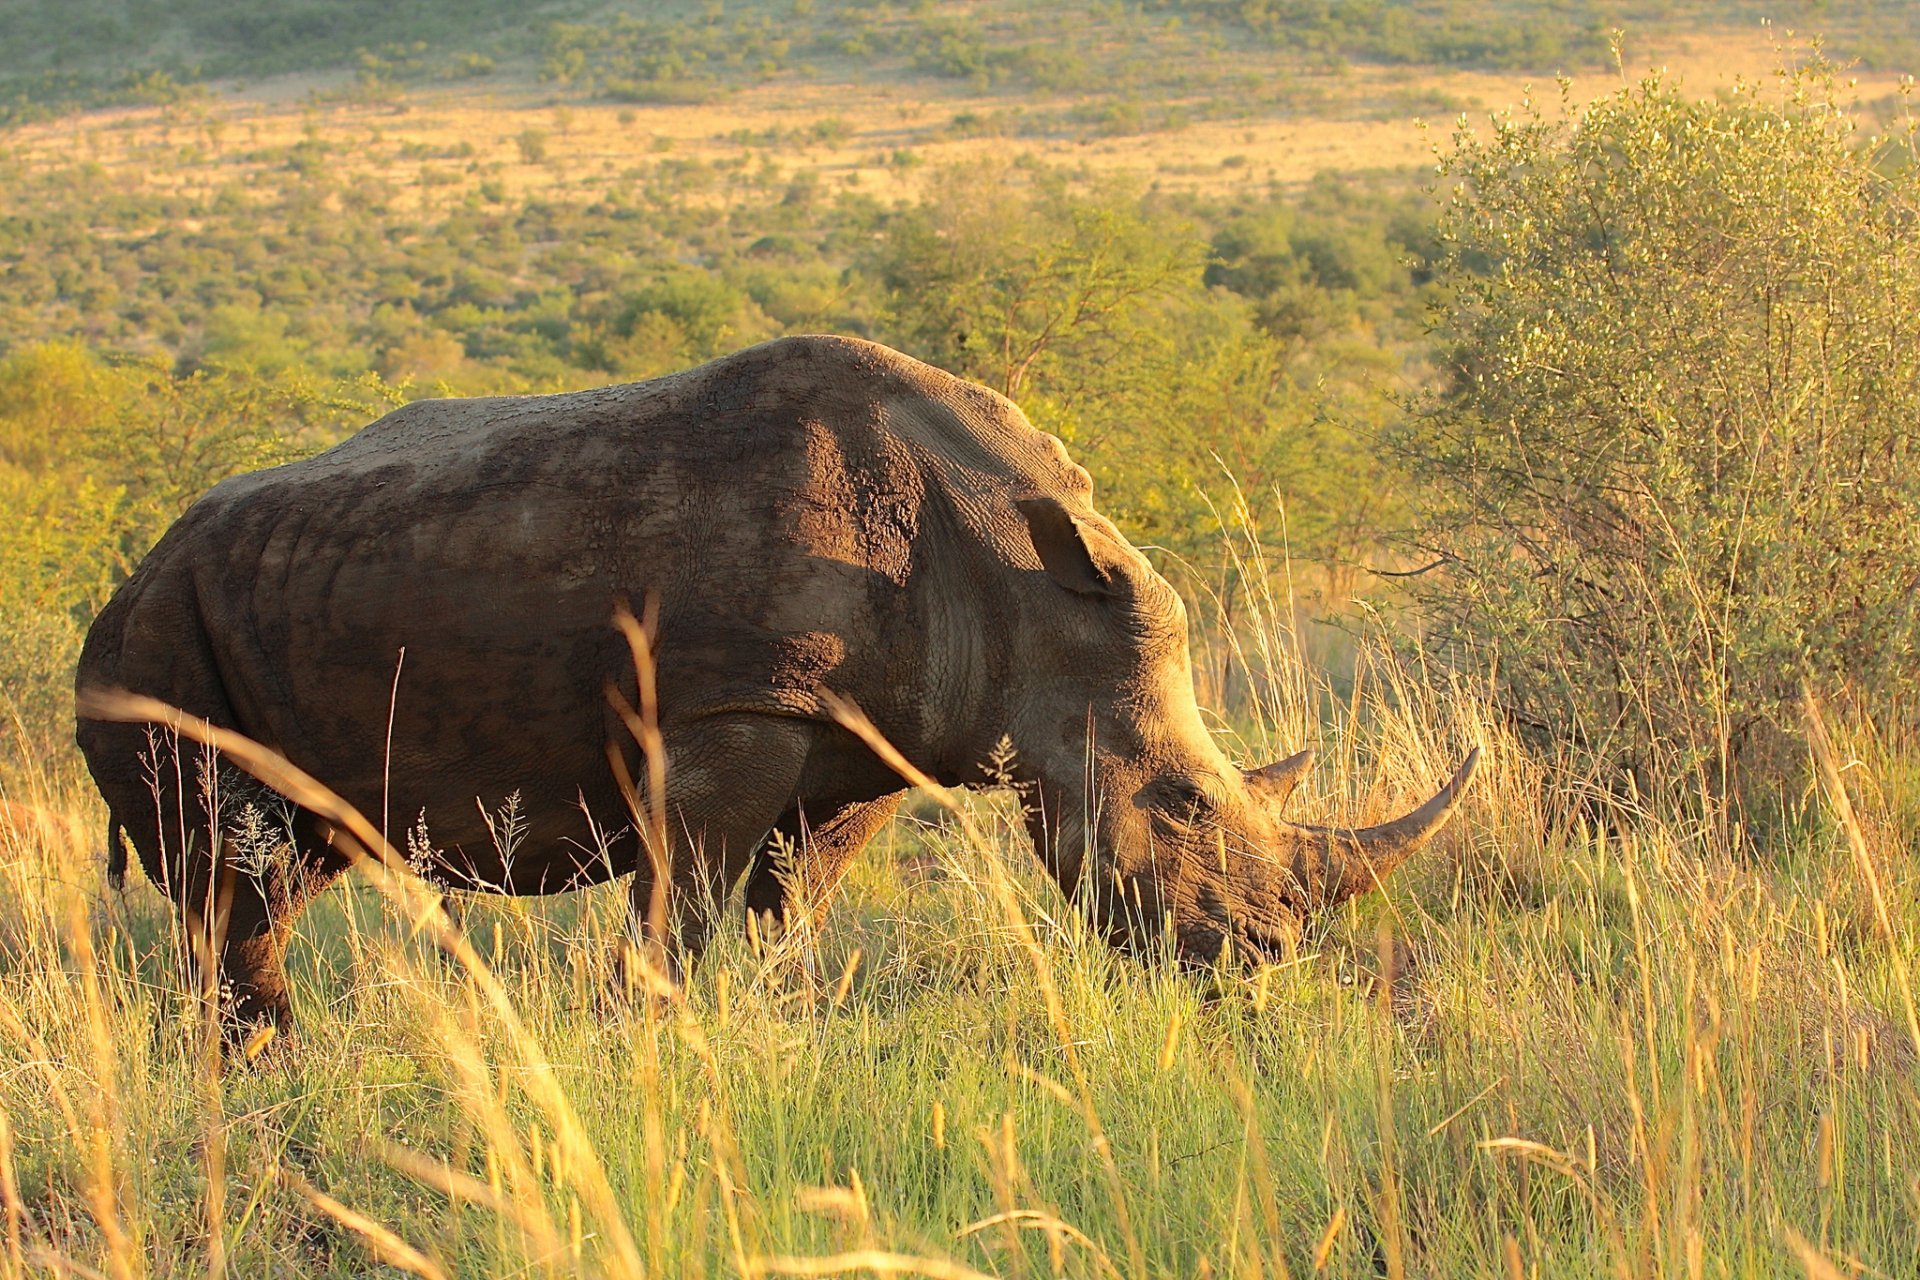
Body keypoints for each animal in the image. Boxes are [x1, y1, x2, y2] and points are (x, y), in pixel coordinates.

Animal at [76, 335, 1476, 1038]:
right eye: (1180, 802)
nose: (1262, 959)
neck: (1025, 587)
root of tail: (123, 580)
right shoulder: (733, 708)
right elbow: (683, 904)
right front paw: (652, 1045)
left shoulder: (876, 736)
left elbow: (786, 910)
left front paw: (772, 1023)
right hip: (151, 649)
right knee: (230, 876)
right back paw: (262, 1072)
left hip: (254, 606)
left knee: (284, 866)